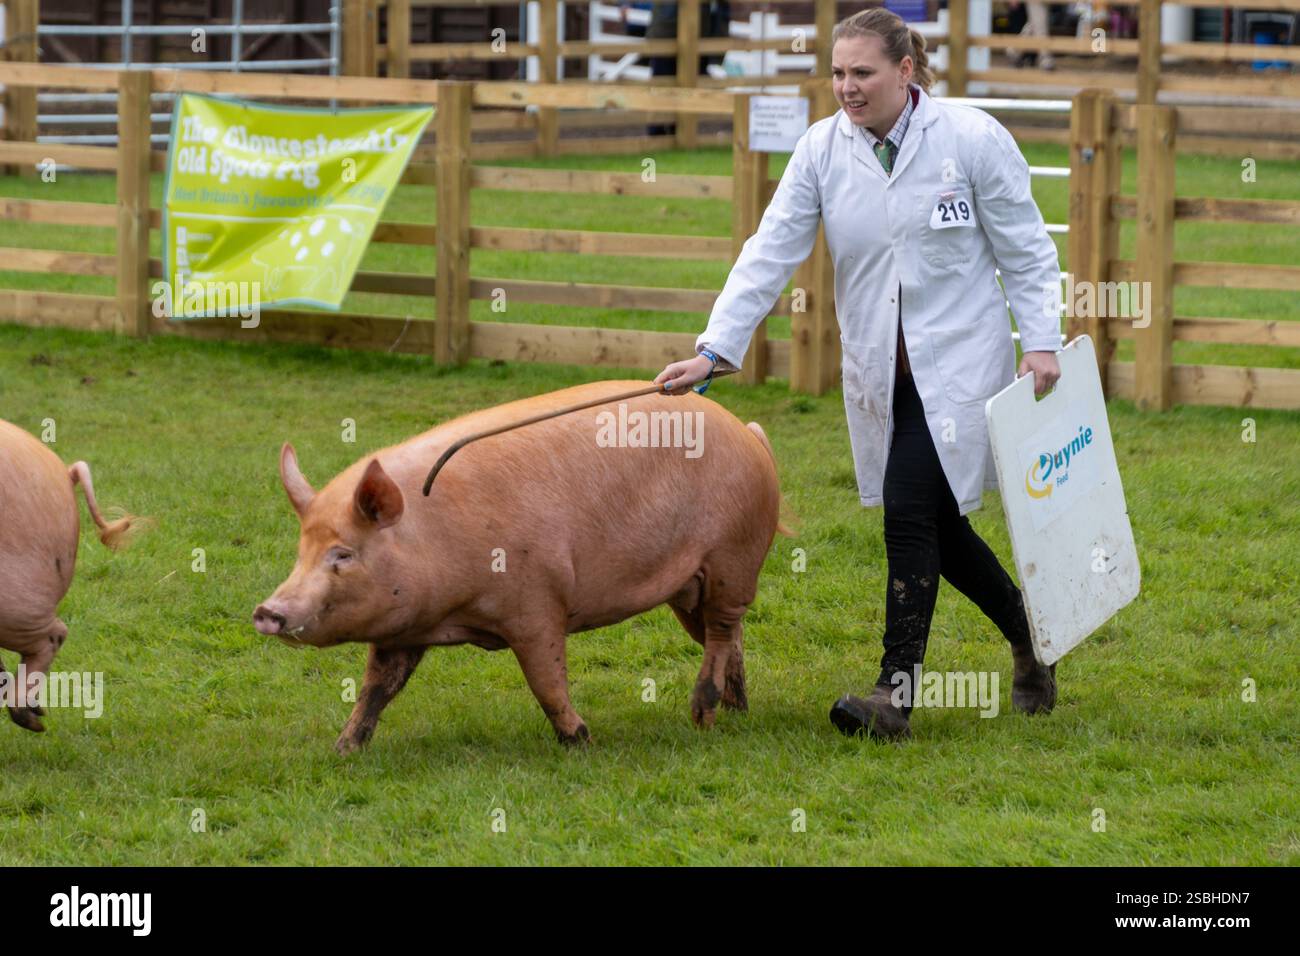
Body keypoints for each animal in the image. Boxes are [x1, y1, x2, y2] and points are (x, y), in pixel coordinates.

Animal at [254, 379, 789, 754]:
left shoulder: (538, 604)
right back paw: (737, 711)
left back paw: (702, 718)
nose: (266, 611)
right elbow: (377, 687)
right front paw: (344, 750)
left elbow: (546, 682)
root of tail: (751, 435)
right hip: (687, 586)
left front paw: (582, 742)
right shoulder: (400, 628)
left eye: (343, 554)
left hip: (732, 560)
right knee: (732, 637)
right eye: (301, 550)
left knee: (722, 632)